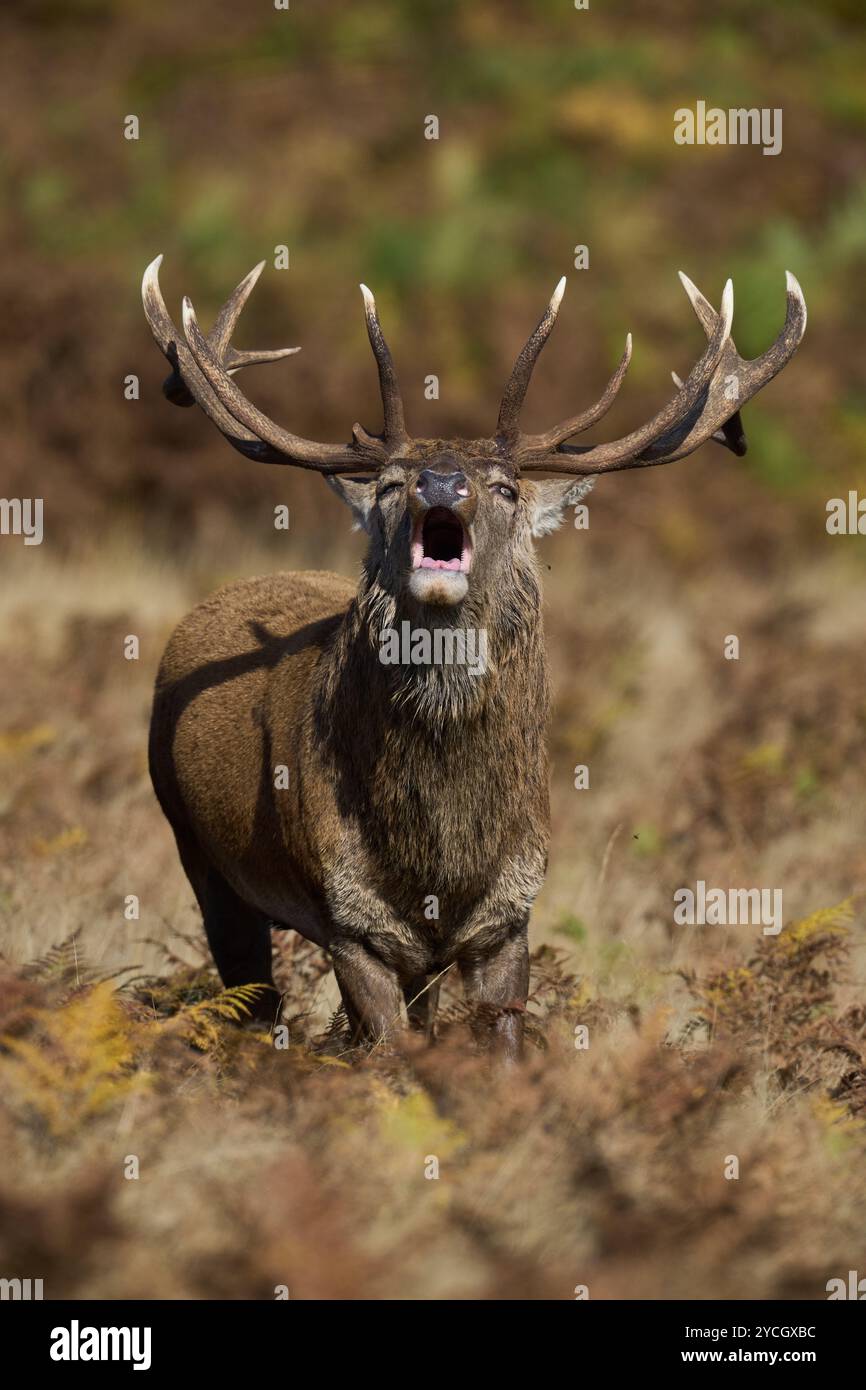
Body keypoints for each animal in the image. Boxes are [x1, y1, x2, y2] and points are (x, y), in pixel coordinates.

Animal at [142, 256, 805, 1060]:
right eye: (391, 484)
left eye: (506, 487)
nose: (440, 482)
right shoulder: (347, 923)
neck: (440, 860)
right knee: (249, 1000)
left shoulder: (509, 920)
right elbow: (387, 1059)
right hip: (199, 854)